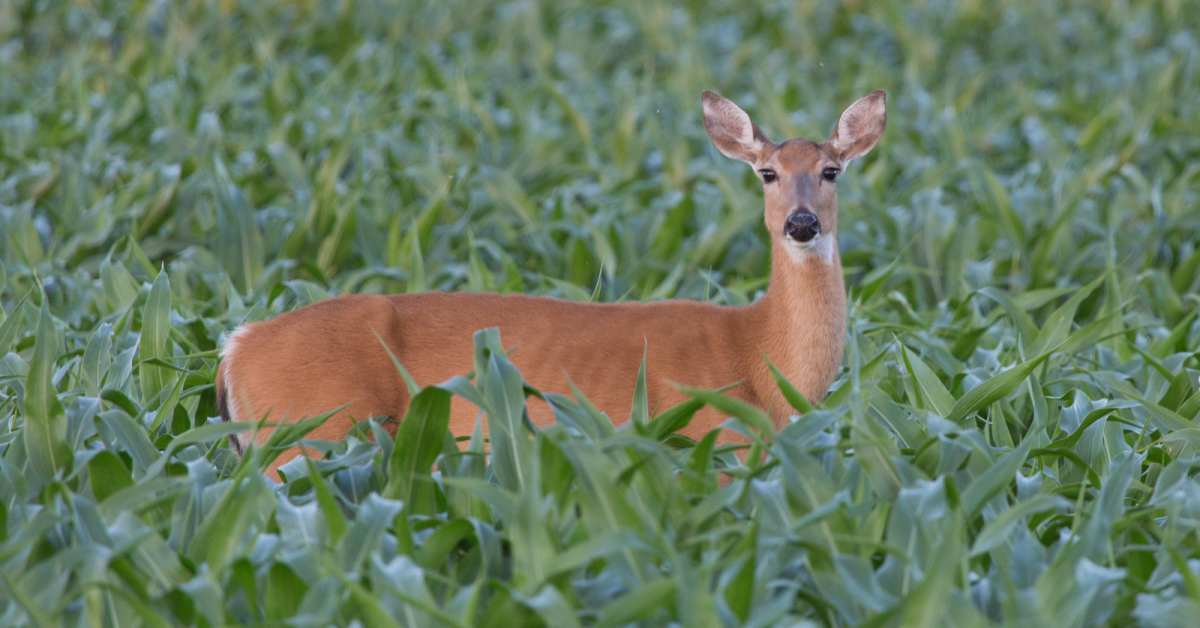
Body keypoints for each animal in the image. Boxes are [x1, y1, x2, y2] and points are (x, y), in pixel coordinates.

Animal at [215, 89, 887, 478]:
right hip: (310, 435)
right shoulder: (710, 445)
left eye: (832, 170)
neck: (757, 356)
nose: (802, 223)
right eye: (767, 172)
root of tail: (235, 346)